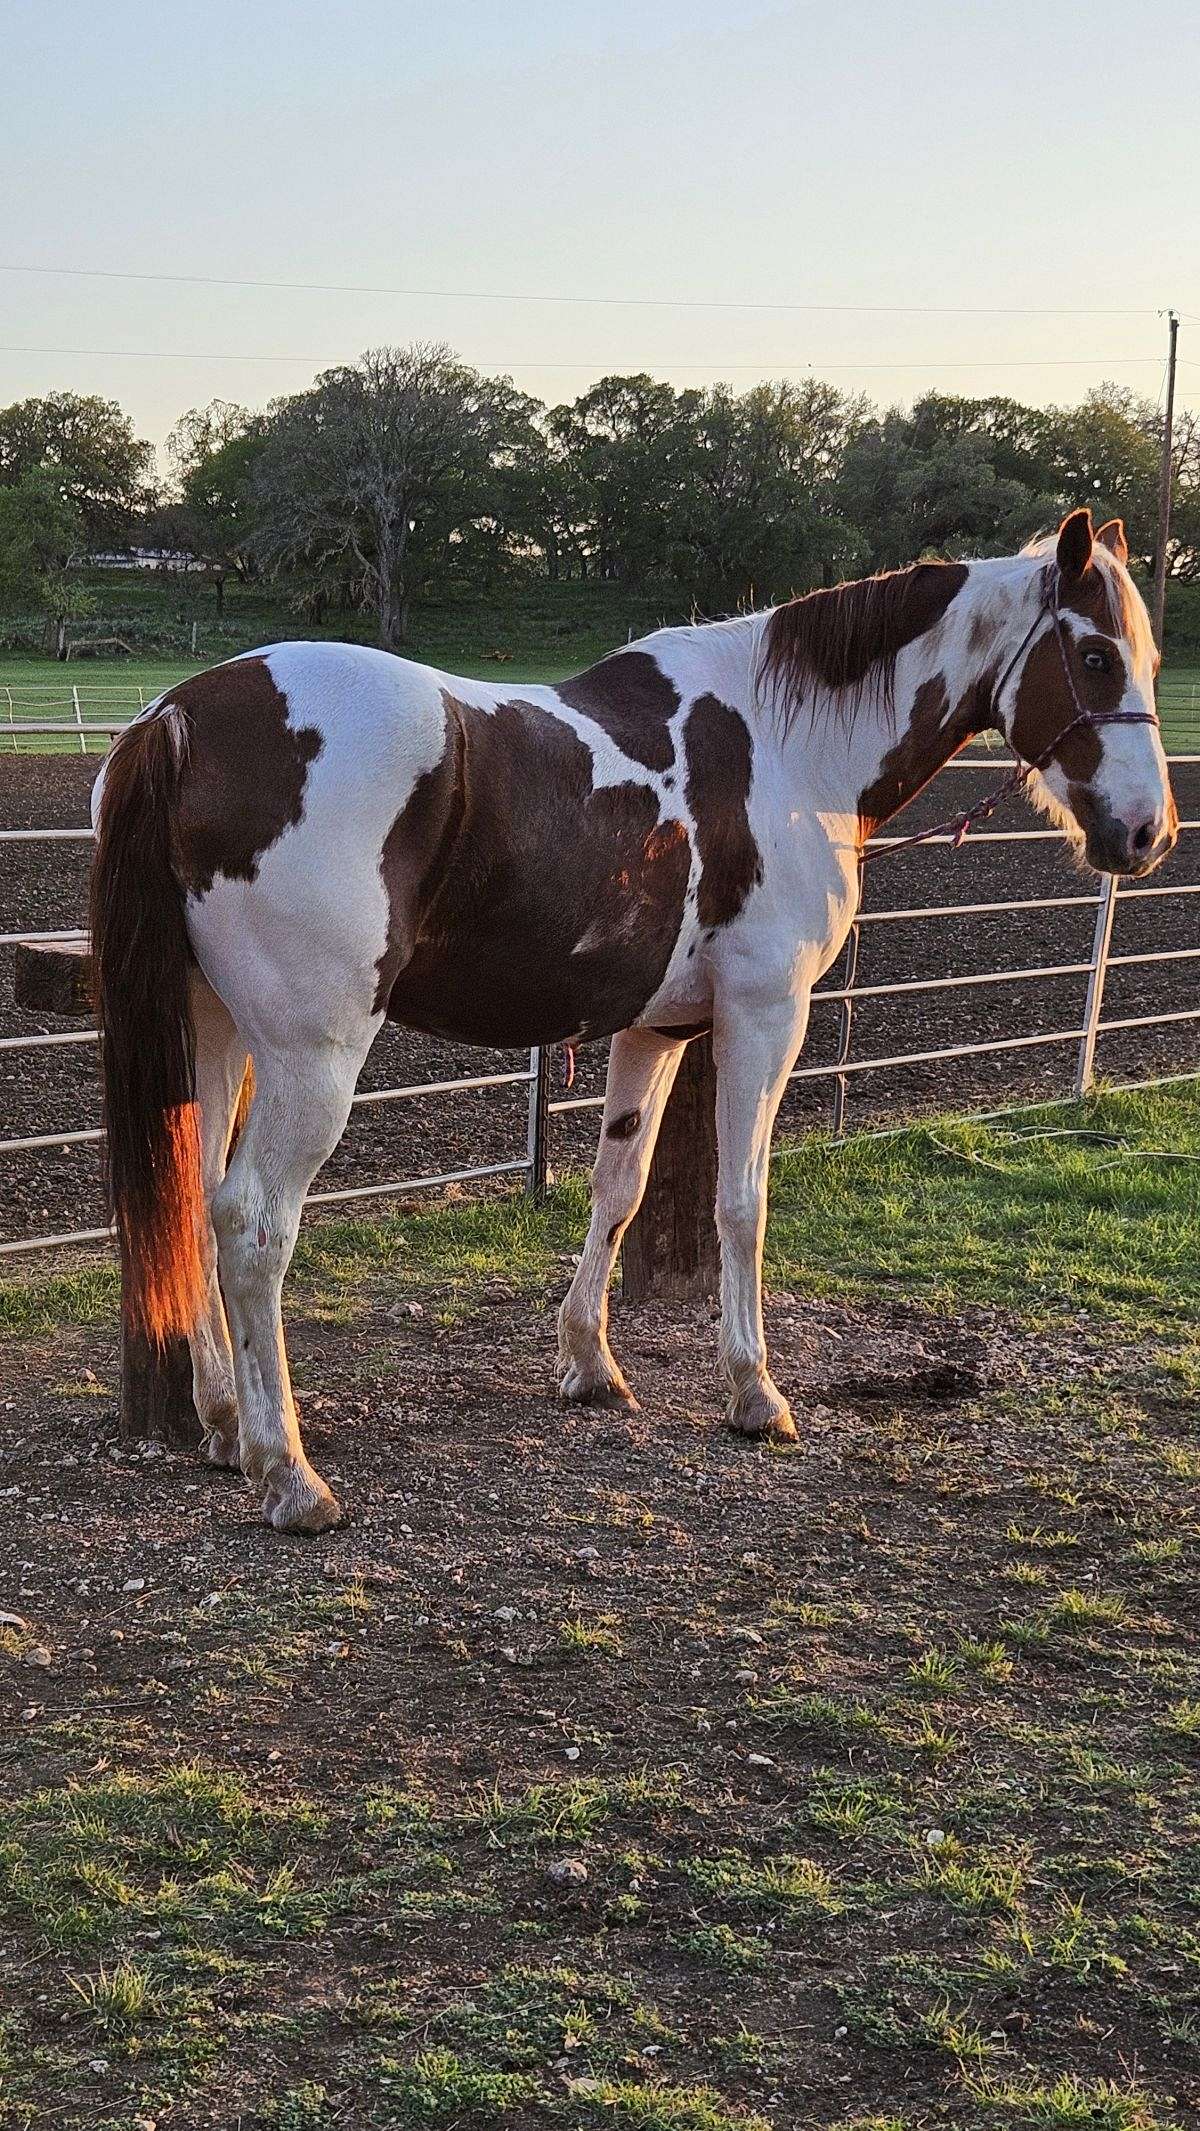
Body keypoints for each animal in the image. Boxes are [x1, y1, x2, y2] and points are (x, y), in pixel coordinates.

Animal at [89, 508, 1176, 1532]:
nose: (1147, 833)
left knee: (196, 1204)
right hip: (311, 1057)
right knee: (252, 1222)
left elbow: (620, 1188)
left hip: (217, 1031)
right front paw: (754, 1392)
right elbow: (741, 1203)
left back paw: (224, 1426)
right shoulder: (764, 1017)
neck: (787, 751)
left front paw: (589, 1365)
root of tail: (181, 714)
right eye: (1093, 656)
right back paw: (289, 1473)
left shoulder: (653, 1031)